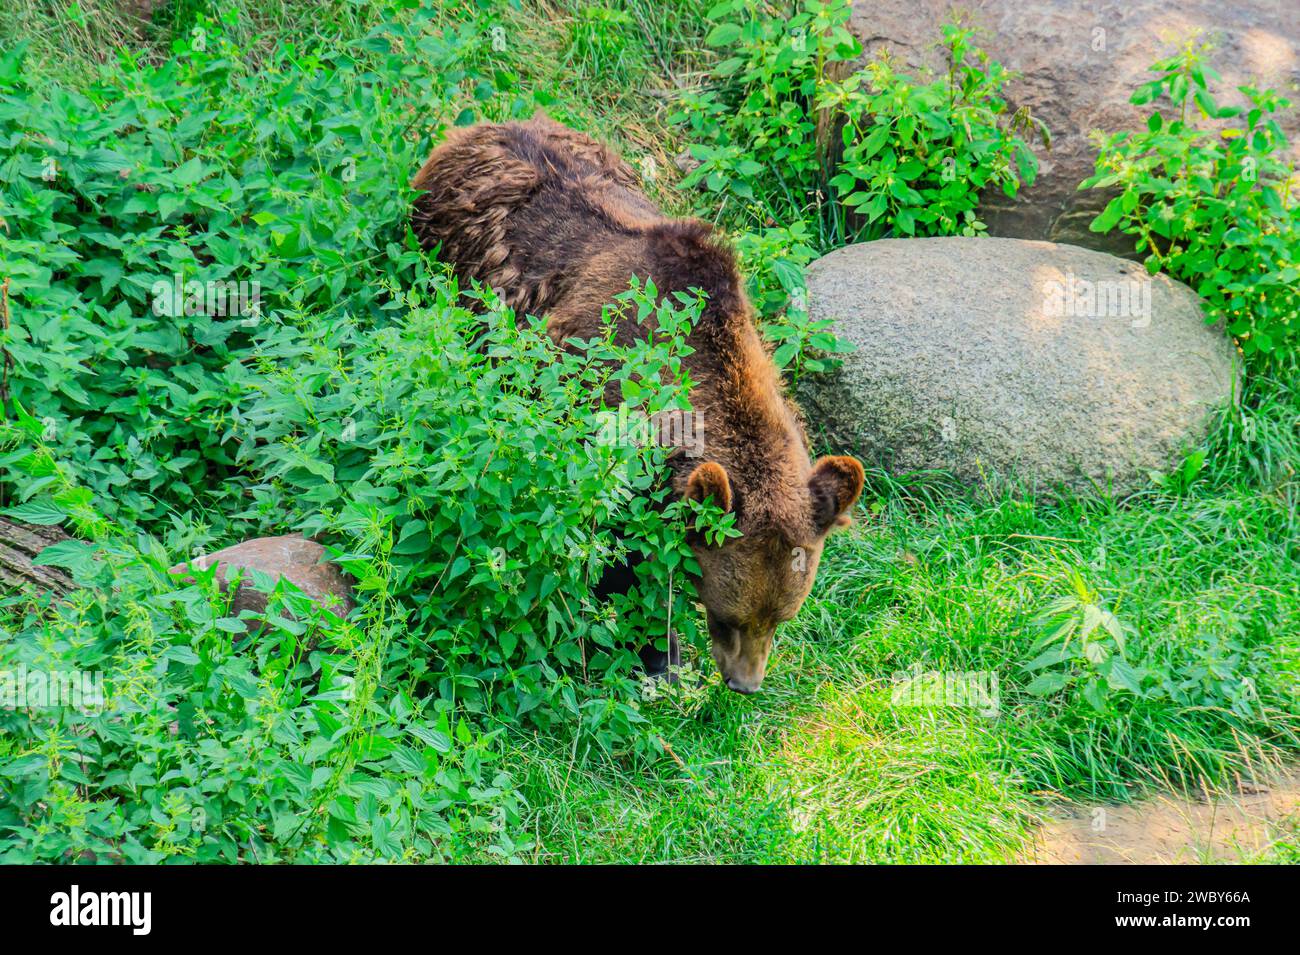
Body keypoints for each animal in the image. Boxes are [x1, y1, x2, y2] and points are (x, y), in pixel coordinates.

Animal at [410, 112, 864, 694]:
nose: (745, 683)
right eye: (728, 615)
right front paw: (655, 652)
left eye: (781, 617)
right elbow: (614, 552)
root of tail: (472, 129)